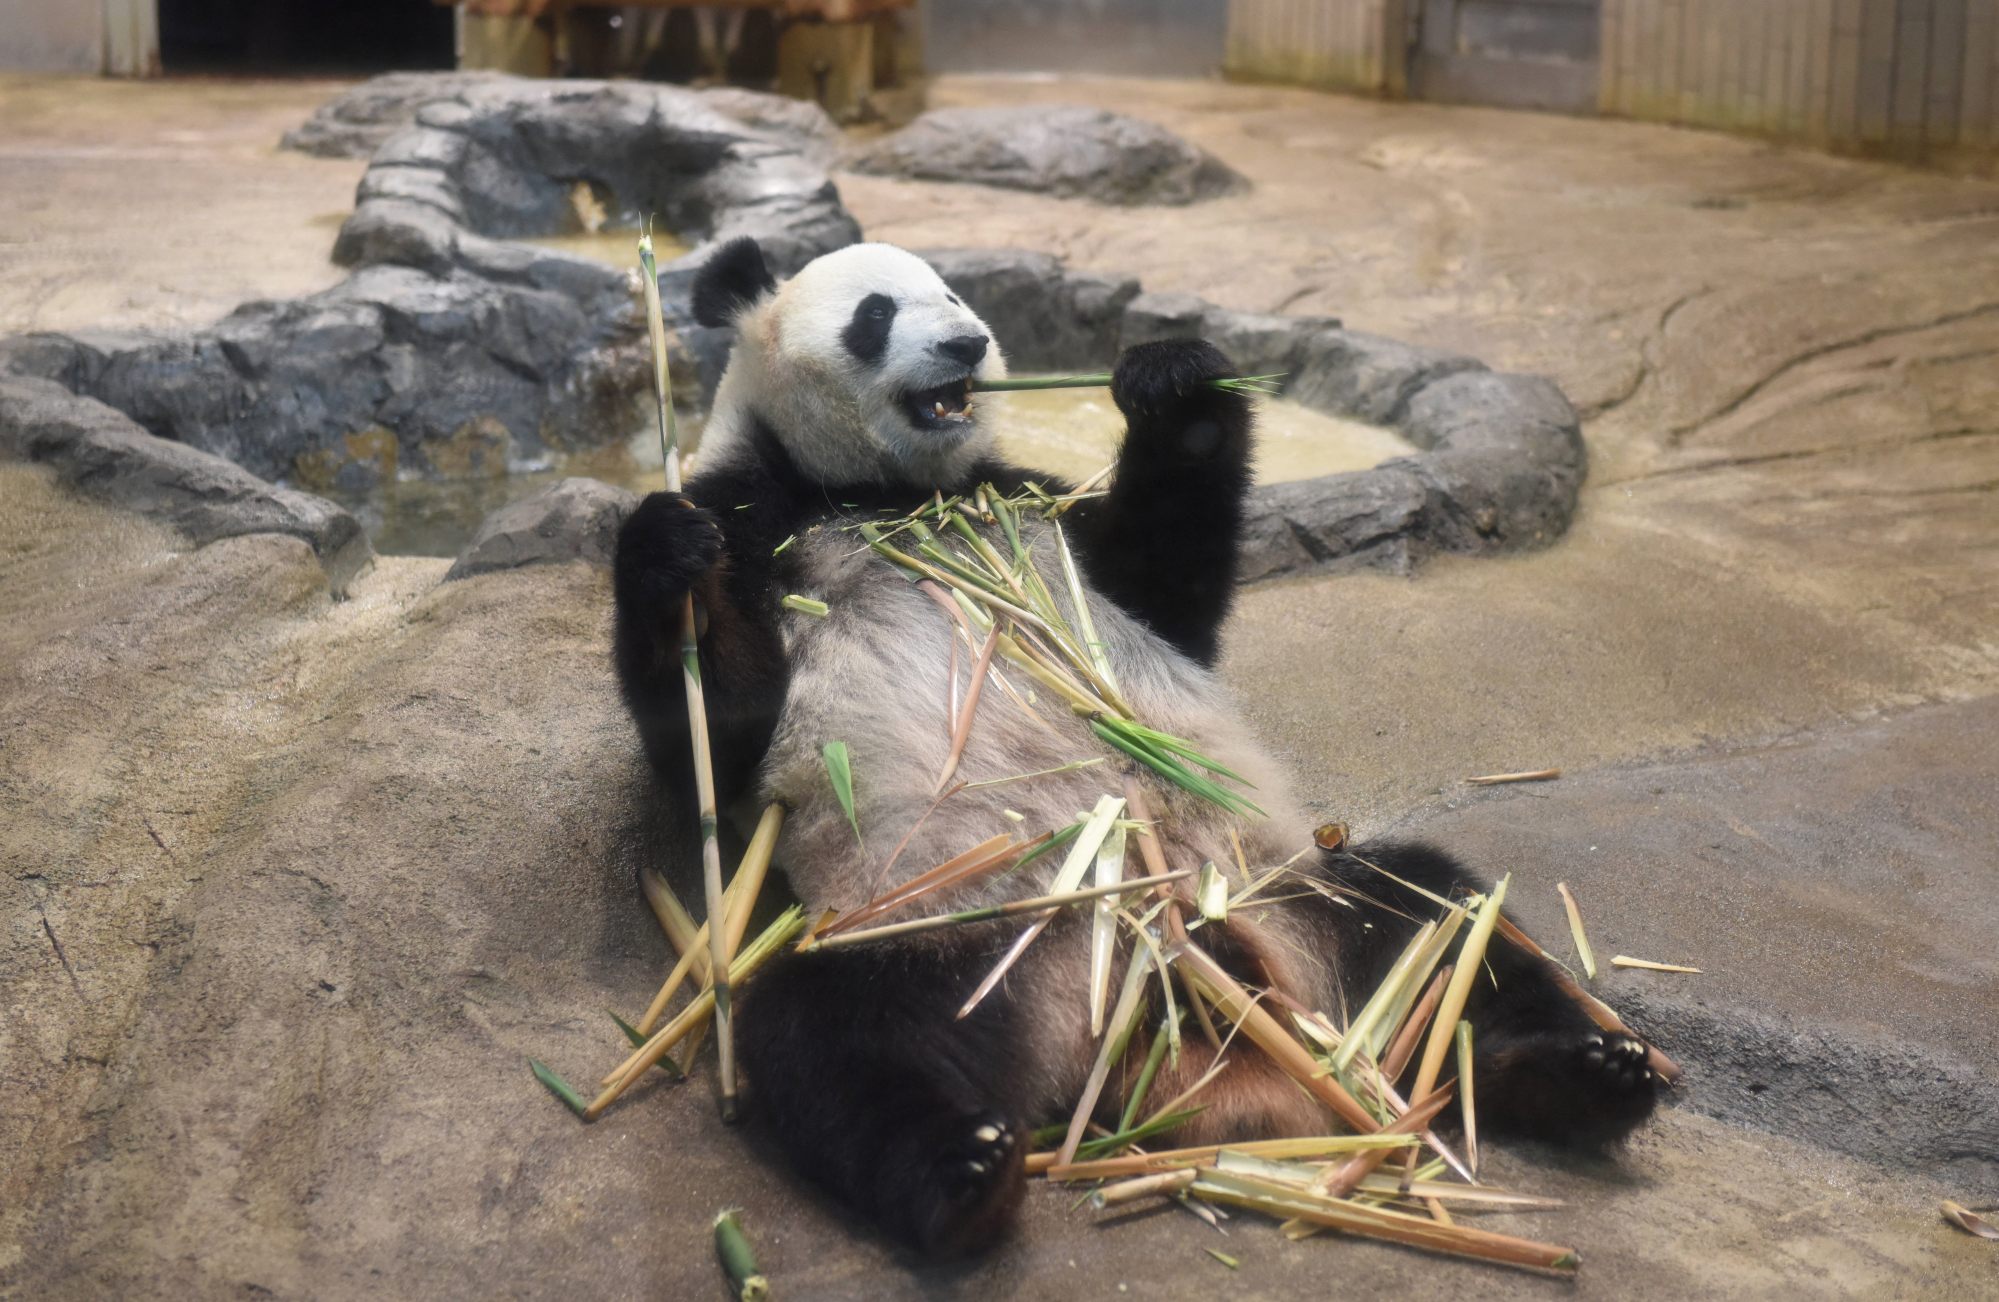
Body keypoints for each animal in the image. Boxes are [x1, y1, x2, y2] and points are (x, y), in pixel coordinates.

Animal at [613, 238, 1661, 1255]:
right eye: (876, 313)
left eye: (952, 292)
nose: (965, 343)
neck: (886, 493)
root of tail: (1156, 1007)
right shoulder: (760, 513)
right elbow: (719, 731)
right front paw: (664, 554)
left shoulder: (1029, 506)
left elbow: (1164, 595)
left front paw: (1172, 380)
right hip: (965, 937)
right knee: (832, 1037)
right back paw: (965, 1175)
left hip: (1283, 892)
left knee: (1439, 915)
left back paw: (1584, 1071)